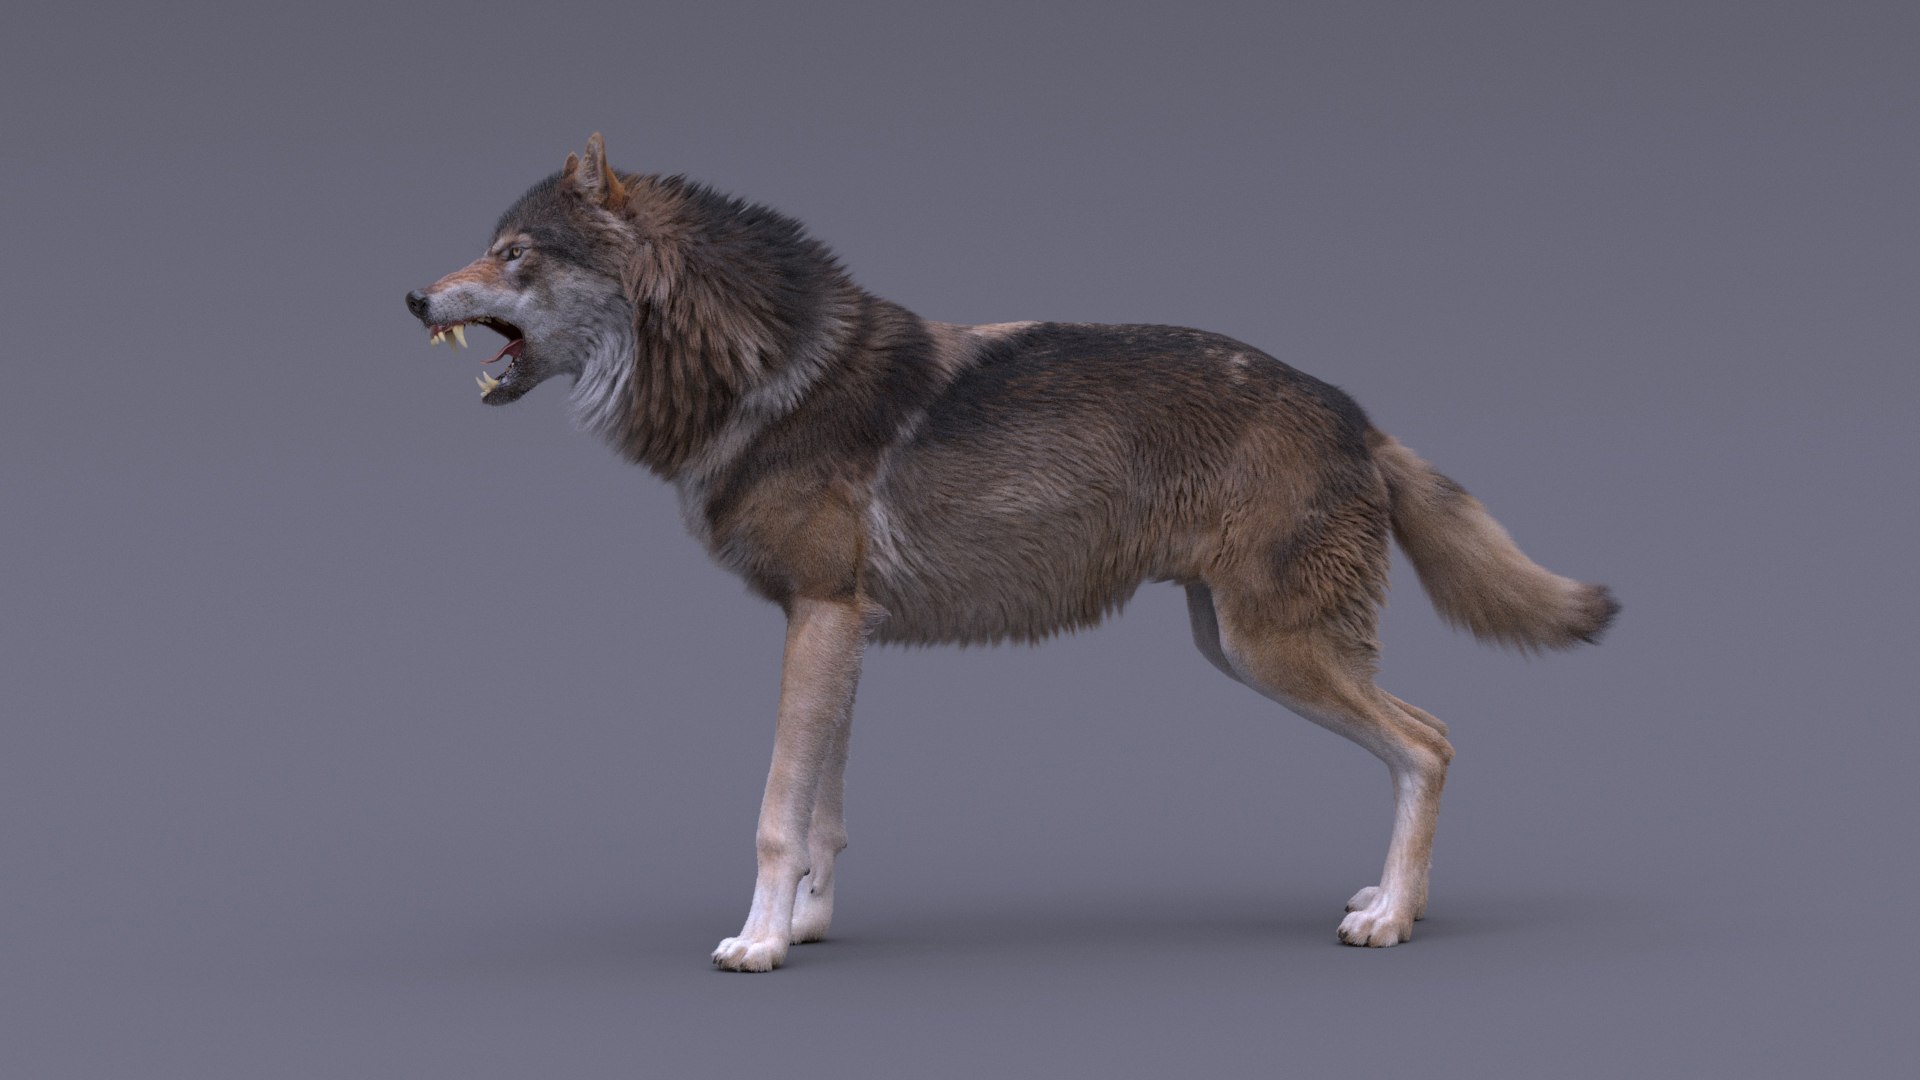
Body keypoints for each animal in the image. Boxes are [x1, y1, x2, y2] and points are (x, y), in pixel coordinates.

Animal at [405, 134, 1617, 971]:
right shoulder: (836, 625)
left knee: (1432, 743)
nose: (413, 295)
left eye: (512, 255)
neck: (762, 378)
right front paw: (810, 927)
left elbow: (773, 815)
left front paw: (757, 944)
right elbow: (824, 814)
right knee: (1424, 741)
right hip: (1239, 648)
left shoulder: (819, 618)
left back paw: (1392, 919)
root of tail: (1360, 415)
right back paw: (1385, 903)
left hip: (1270, 652)